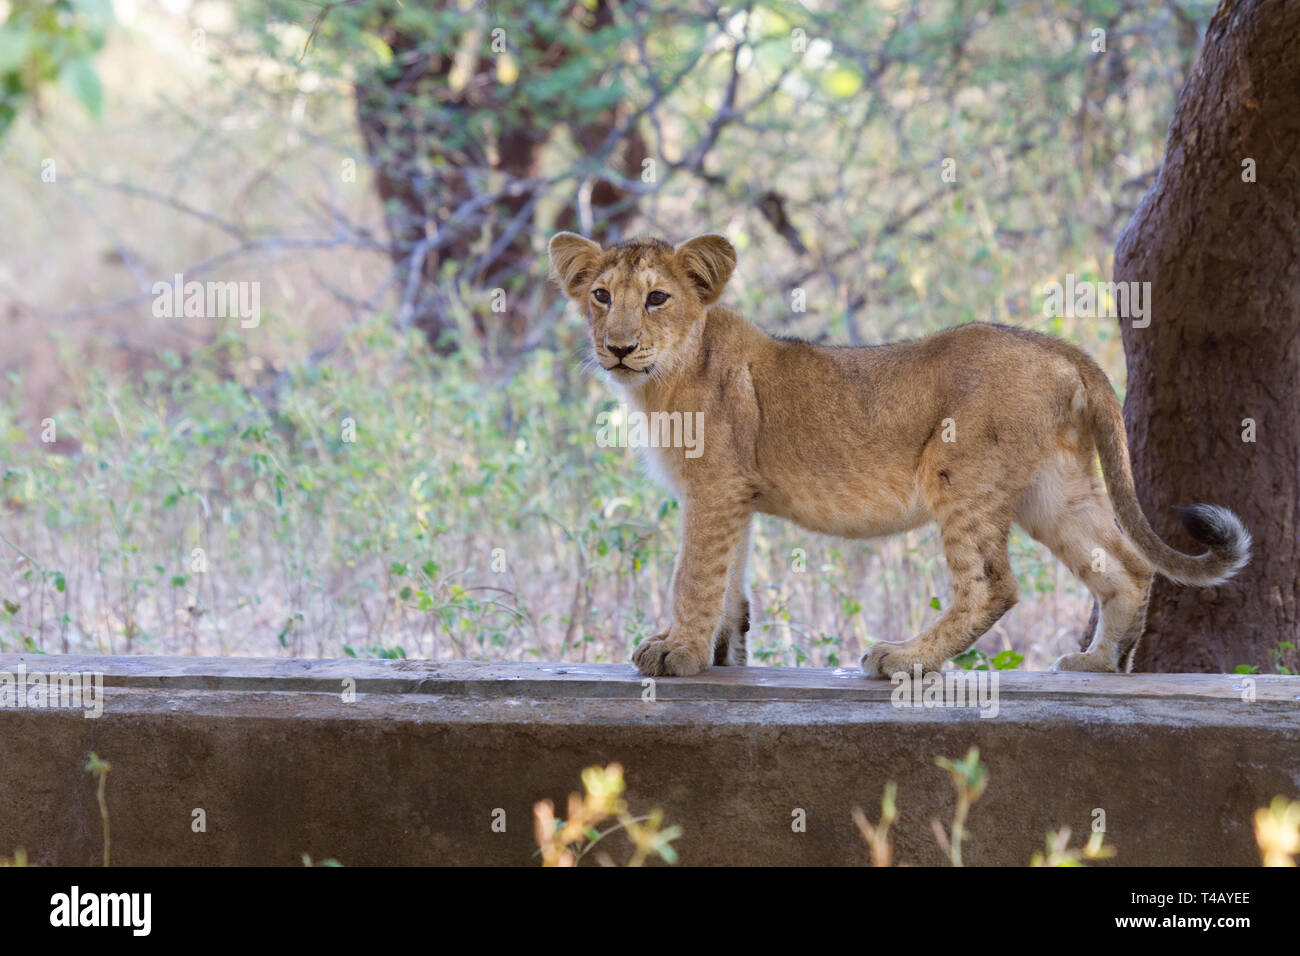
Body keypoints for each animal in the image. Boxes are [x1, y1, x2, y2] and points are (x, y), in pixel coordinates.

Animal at [548, 231, 1251, 678]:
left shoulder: (716, 488)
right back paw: (1100, 662)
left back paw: (905, 660)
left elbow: (693, 574)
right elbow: (729, 585)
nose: (618, 347)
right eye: (601, 296)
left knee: (993, 585)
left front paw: (678, 656)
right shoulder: (732, 495)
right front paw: (721, 656)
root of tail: (1058, 347)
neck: (663, 377)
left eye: (657, 298)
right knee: (1127, 565)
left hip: (960, 474)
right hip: (1051, 490)